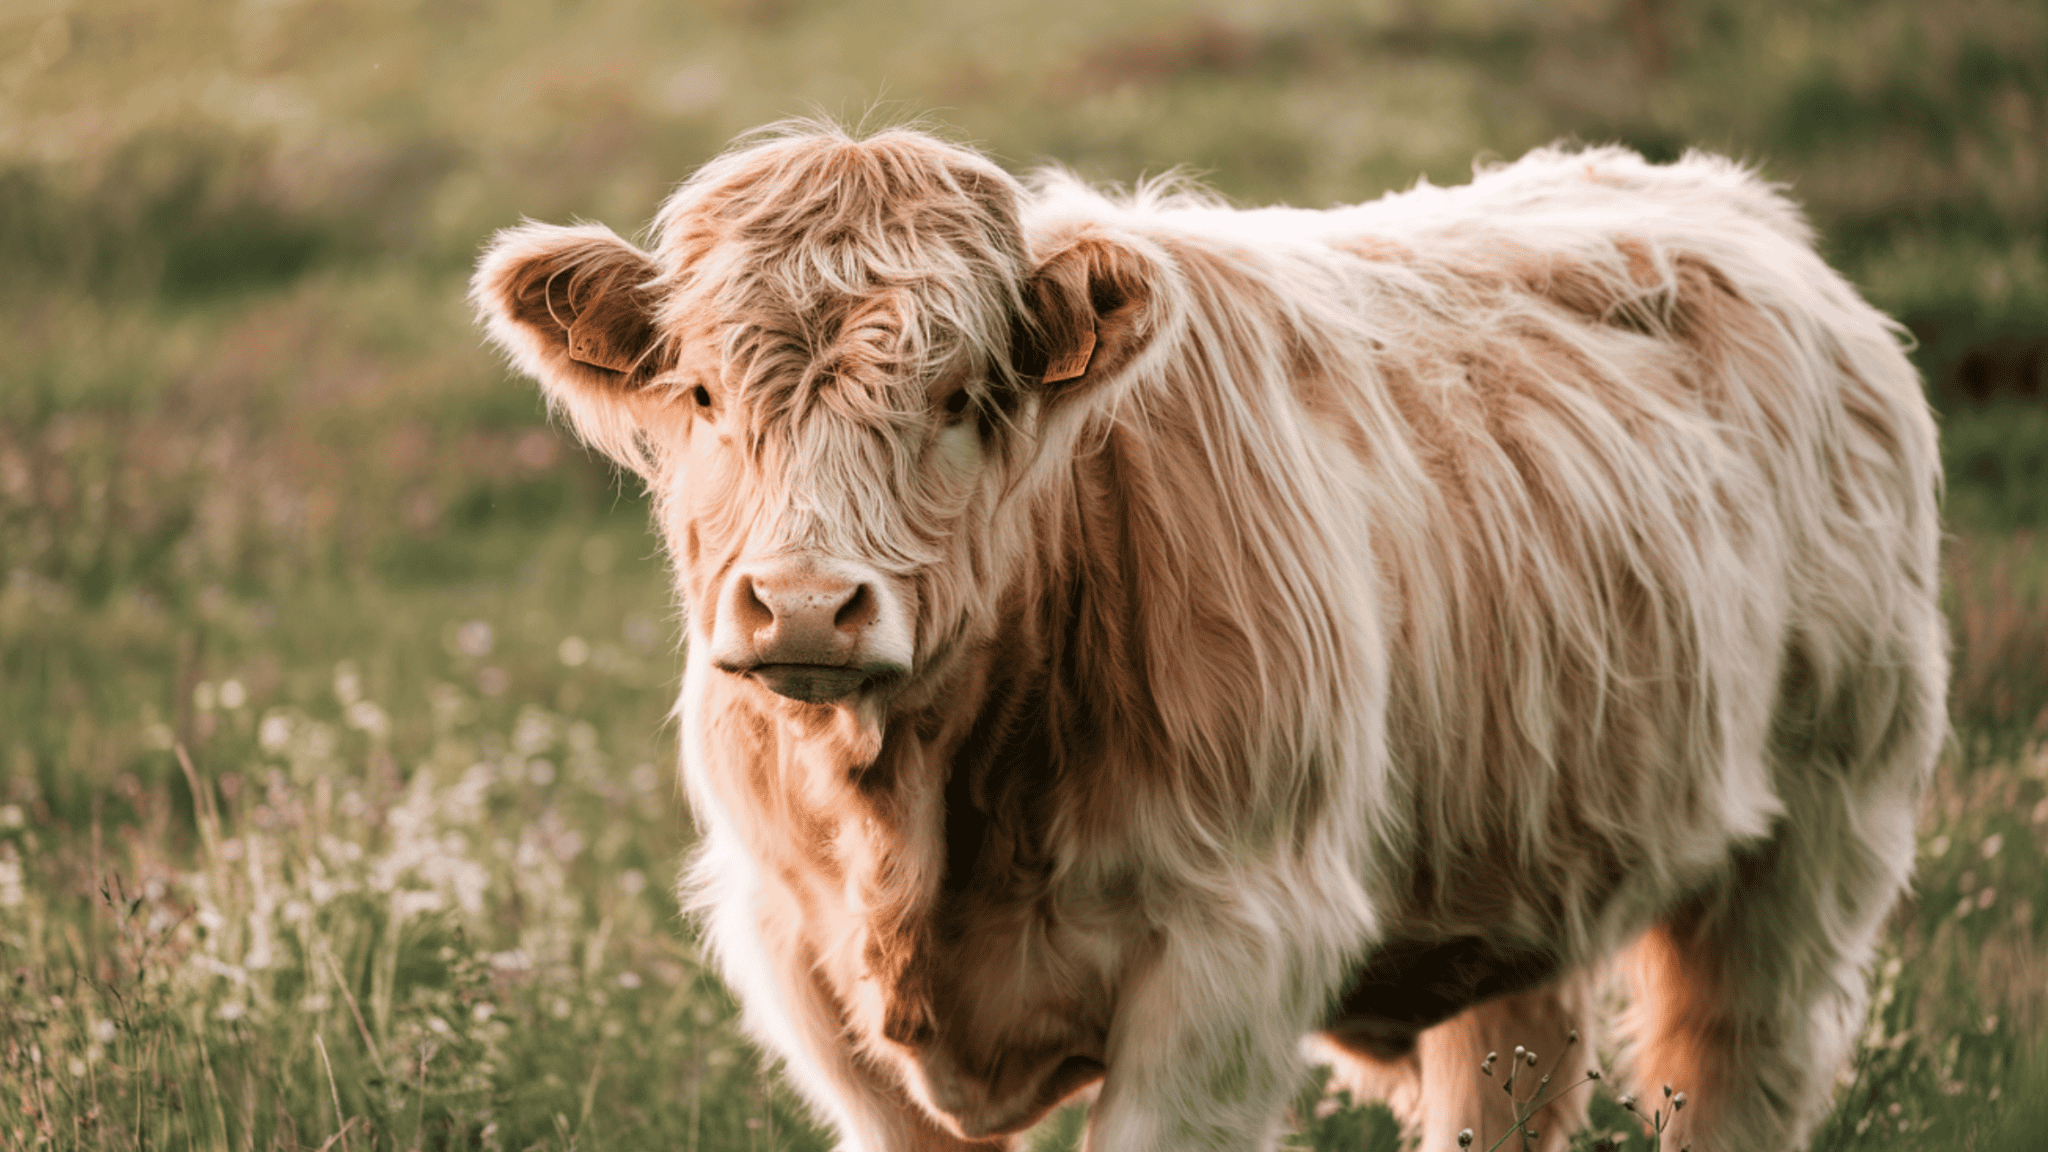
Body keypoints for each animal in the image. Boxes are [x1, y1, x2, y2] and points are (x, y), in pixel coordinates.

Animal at [472, 122, 1946, 1152]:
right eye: (702, 395)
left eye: (961, 397)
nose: (803, 605)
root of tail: (1720, 200)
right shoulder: (802, 960)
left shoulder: (1230, 954)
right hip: (1523, 869)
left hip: (1816, 838)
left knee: (1738, 1063)